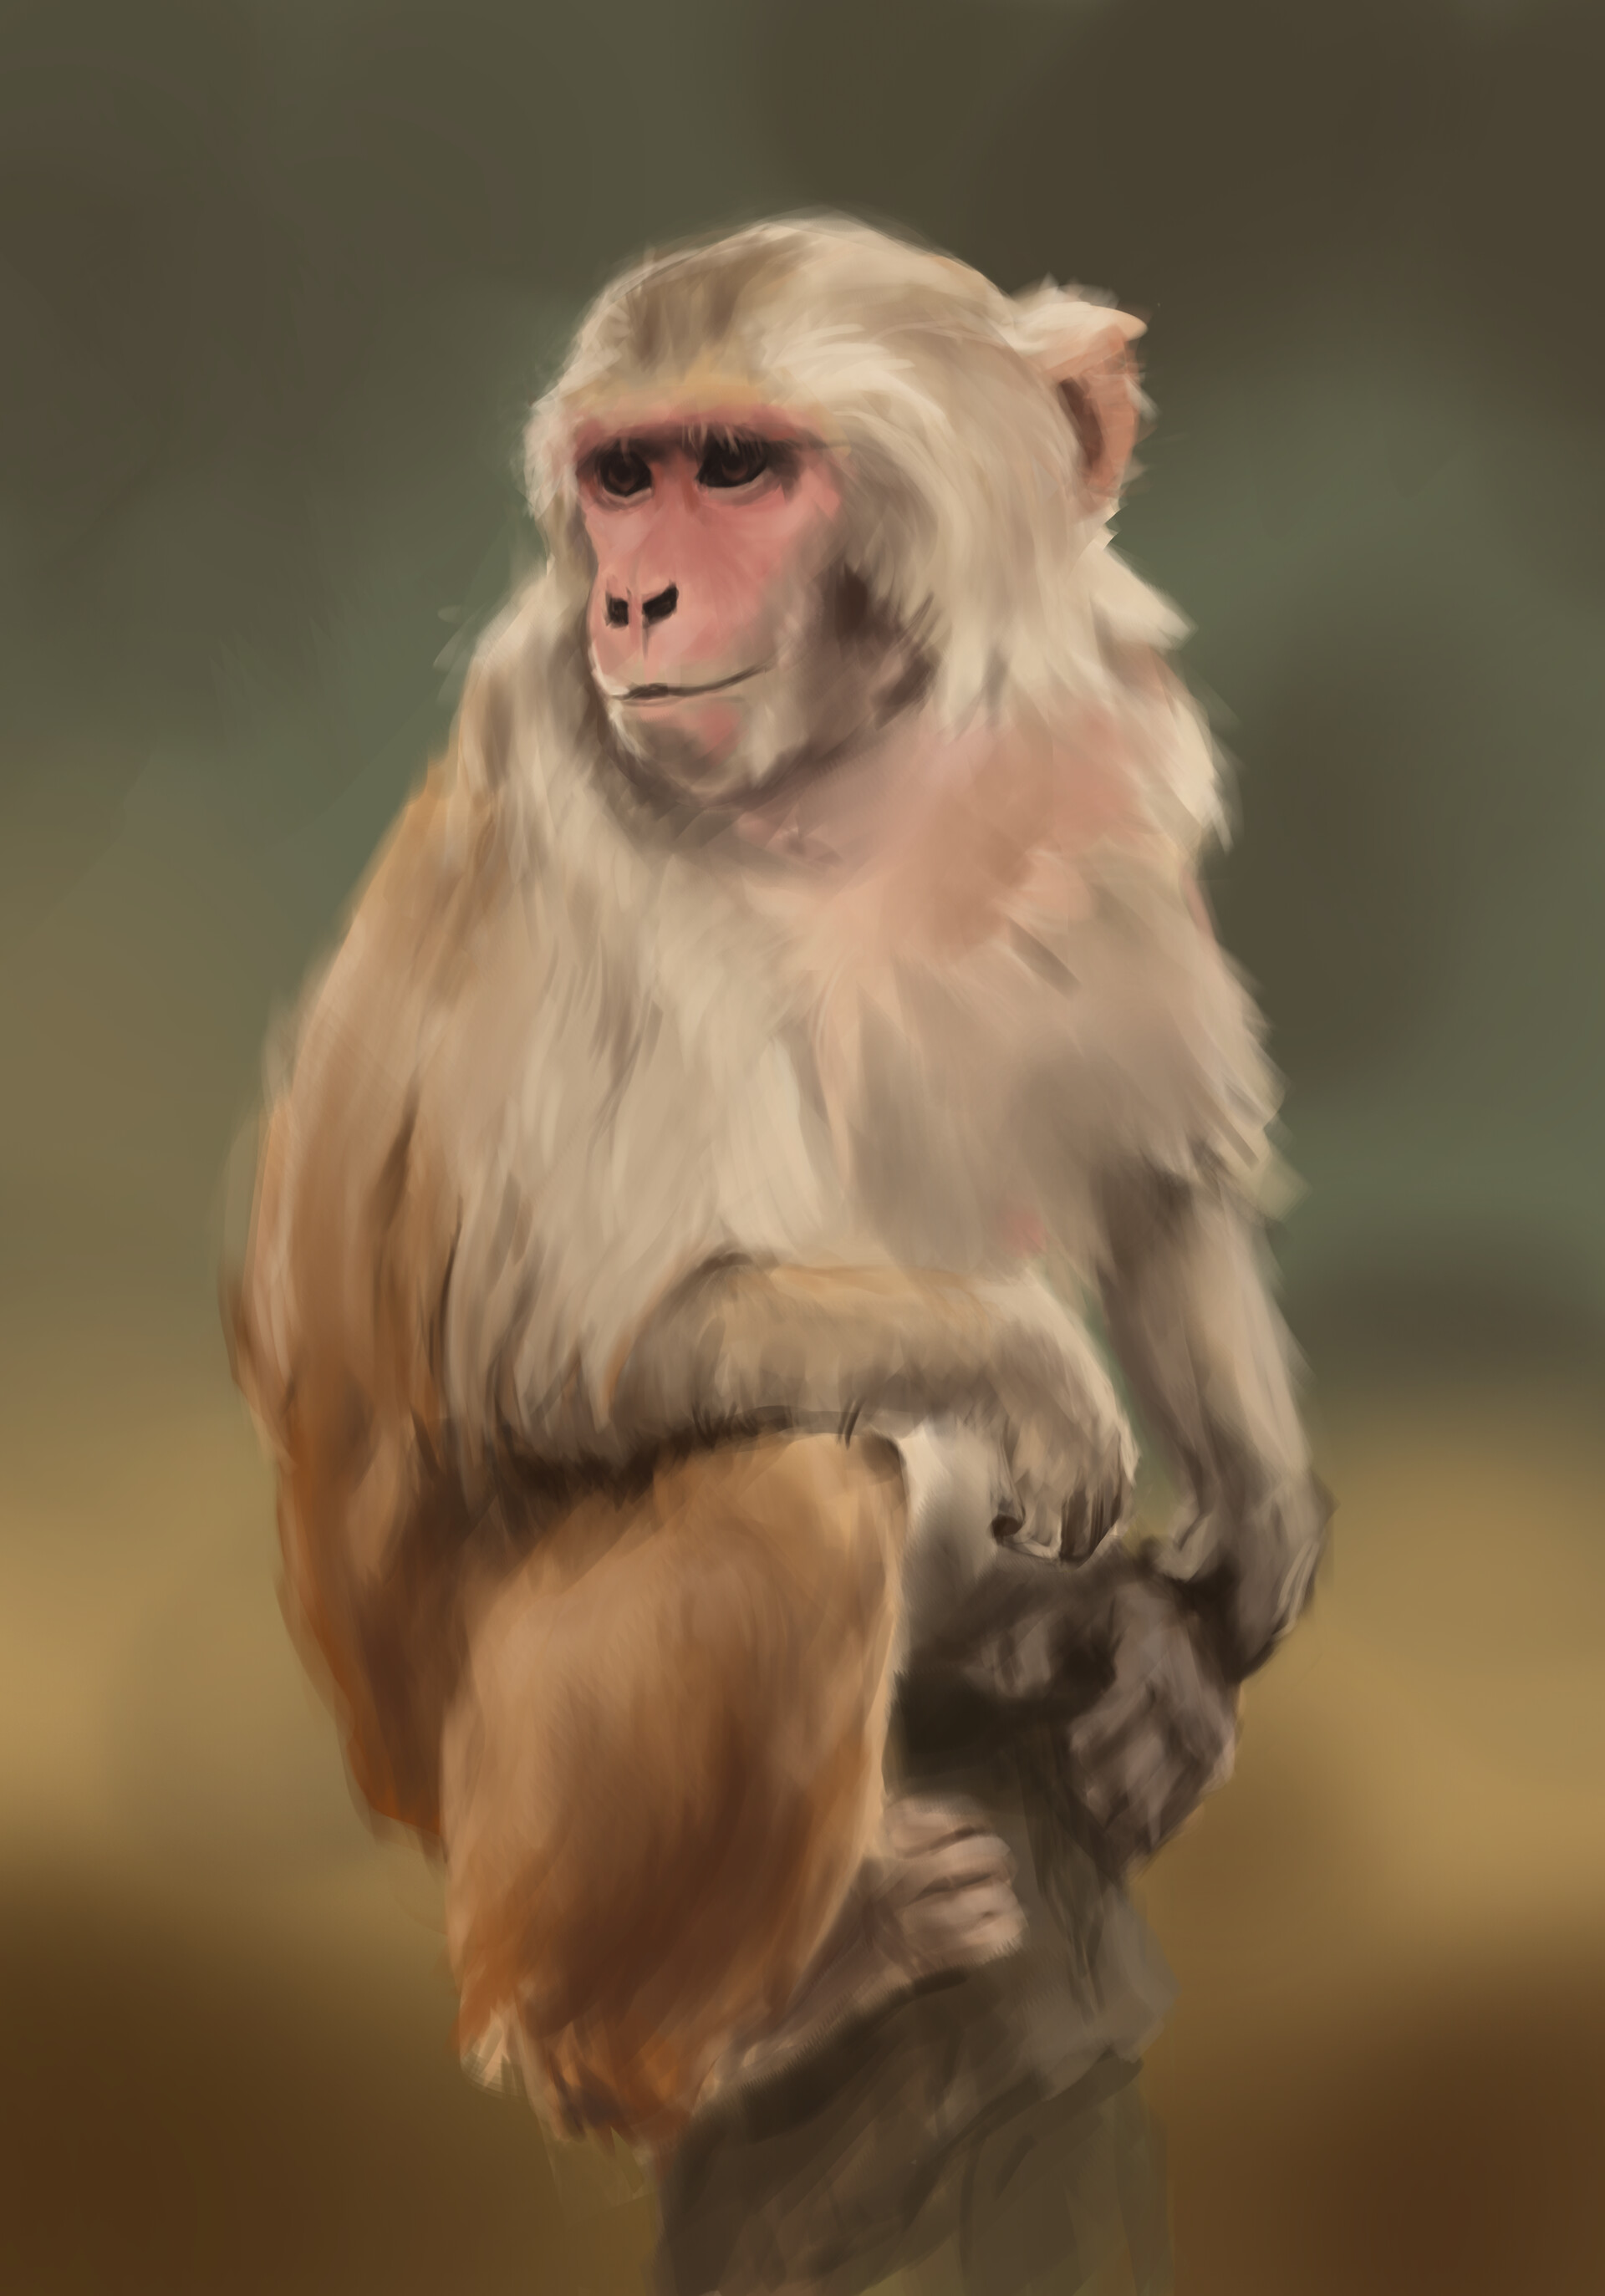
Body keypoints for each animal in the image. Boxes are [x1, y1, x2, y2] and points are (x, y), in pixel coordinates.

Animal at [228, 215, 1328, 2164]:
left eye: (736, 467)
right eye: (624, 478)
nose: (633, 602)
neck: (851, 772)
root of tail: (385, 1774)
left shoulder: (1094, 747)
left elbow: (1156, 1177)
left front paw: (1249, 1535)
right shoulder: (565, 809)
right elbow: (564, 1344)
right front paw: (1029, 1368)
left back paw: (1076, 1648)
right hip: (507, 1822)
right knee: (798, 1496)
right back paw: (709, 2032)